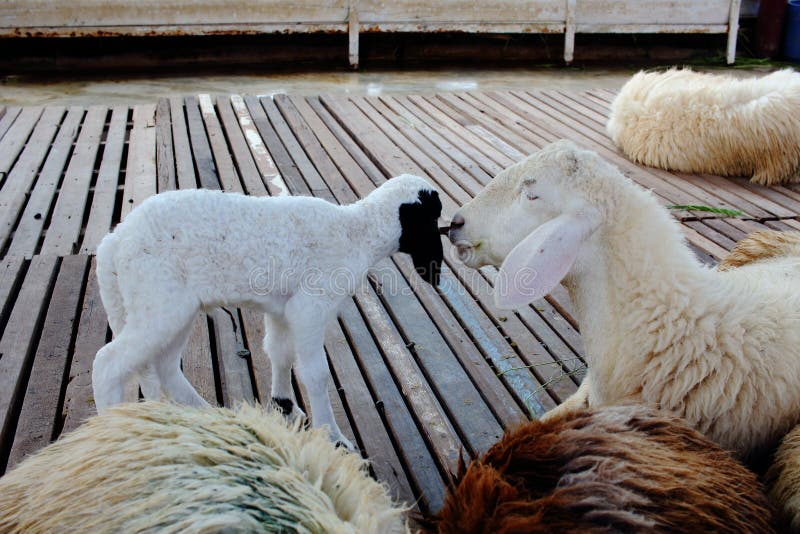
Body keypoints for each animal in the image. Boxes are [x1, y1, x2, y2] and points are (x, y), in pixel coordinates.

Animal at [93, 175, 443, 450]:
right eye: (432, 218)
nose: (434, 272)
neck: (357, 234)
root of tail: (116, 239)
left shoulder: (282, 309)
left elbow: (279, 352)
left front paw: (284, 404)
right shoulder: (310, 306)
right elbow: (316, 374)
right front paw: (332, 435)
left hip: (168, 306)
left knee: (164, 367)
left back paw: (209, 415)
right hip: (159, 302)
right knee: (108, 363)